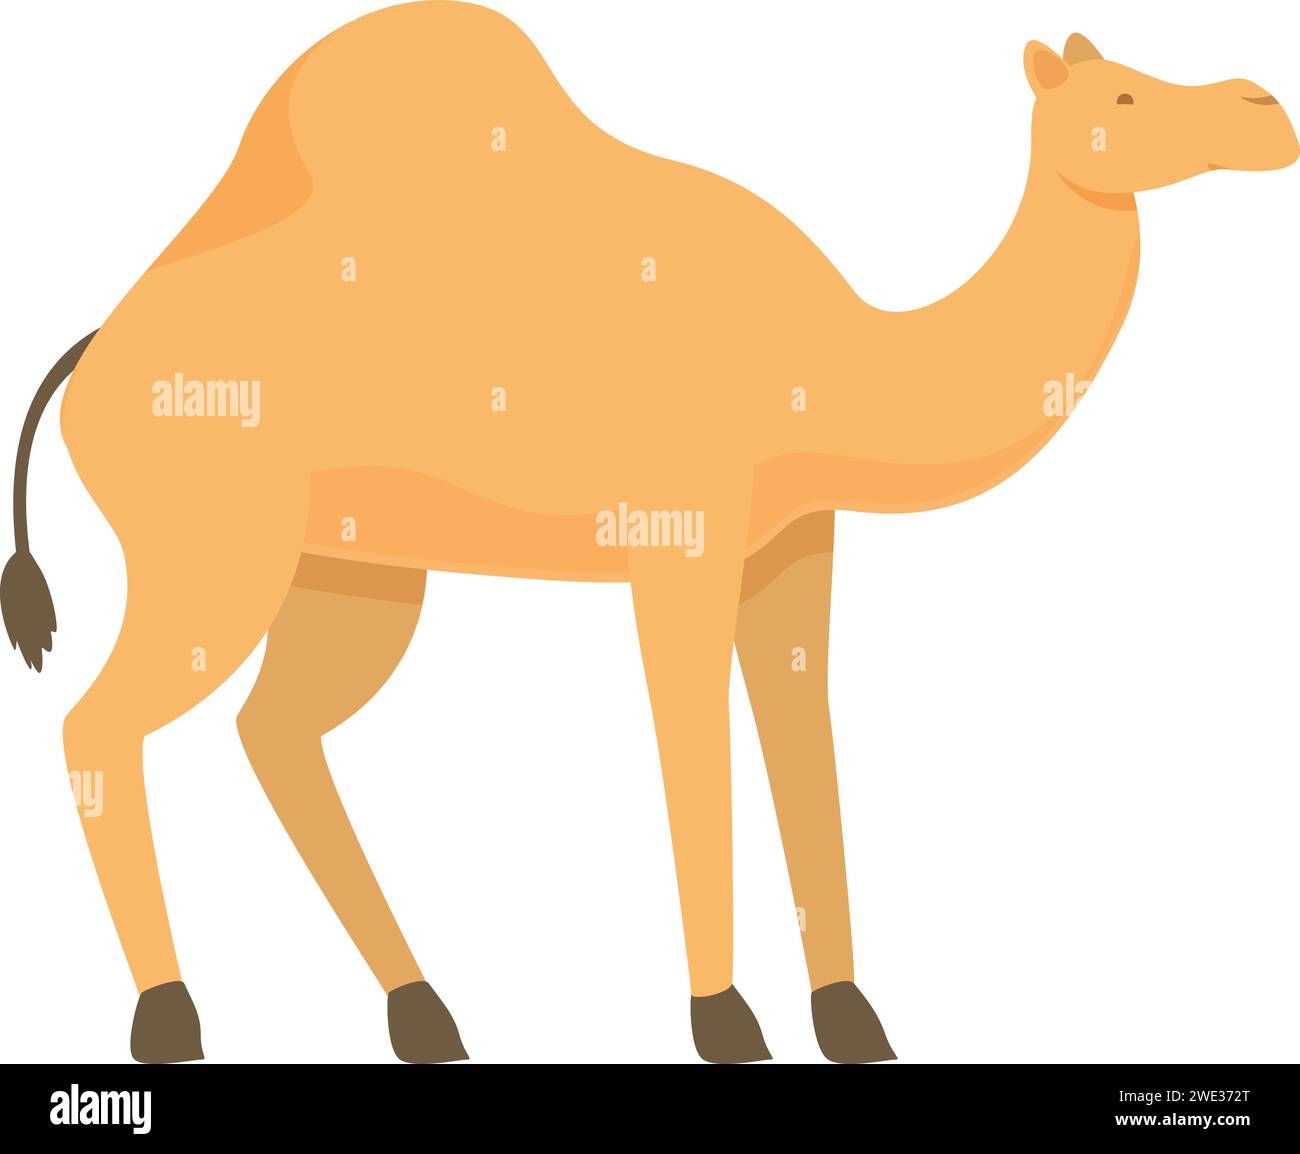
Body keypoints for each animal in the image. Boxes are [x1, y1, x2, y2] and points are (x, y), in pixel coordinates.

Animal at [3, 3, 1296, 1063]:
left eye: (1145, 73)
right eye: (1118, 98)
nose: (1263, 106)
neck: (833, 366)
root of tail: (91, 357)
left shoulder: (794, 542)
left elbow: (803, 744)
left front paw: (851, 1020)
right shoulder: (682, 533)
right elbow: (694, 749)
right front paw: (725, 1020)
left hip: (355, 565)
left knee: (274, 731)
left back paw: (425, 1013)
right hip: (212, 548)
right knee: (100, 723)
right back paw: (172, 1017)